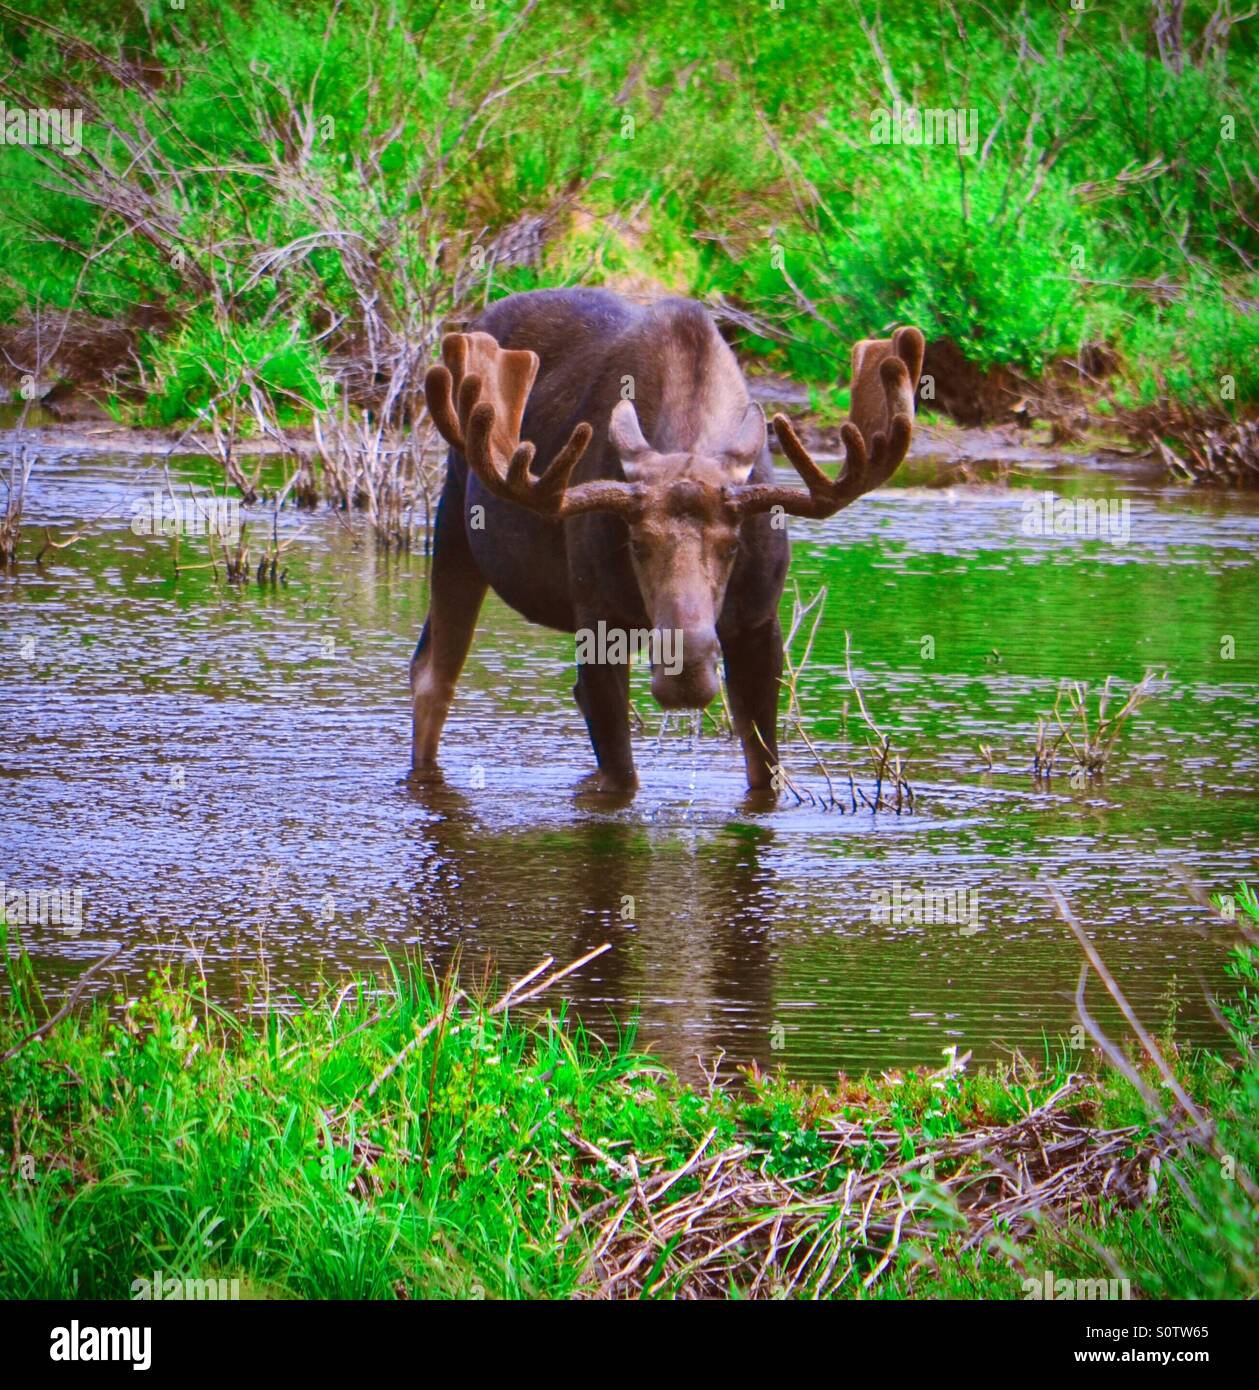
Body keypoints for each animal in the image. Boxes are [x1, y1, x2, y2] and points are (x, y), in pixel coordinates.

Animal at [411, 288, 923, 799]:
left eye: (732, 546)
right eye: (636, 543)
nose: (687, 671)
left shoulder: (758, 622)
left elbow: (766, 777)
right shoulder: (597, 619)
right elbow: (622, 778)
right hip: (454, 517)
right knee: (432, 676)